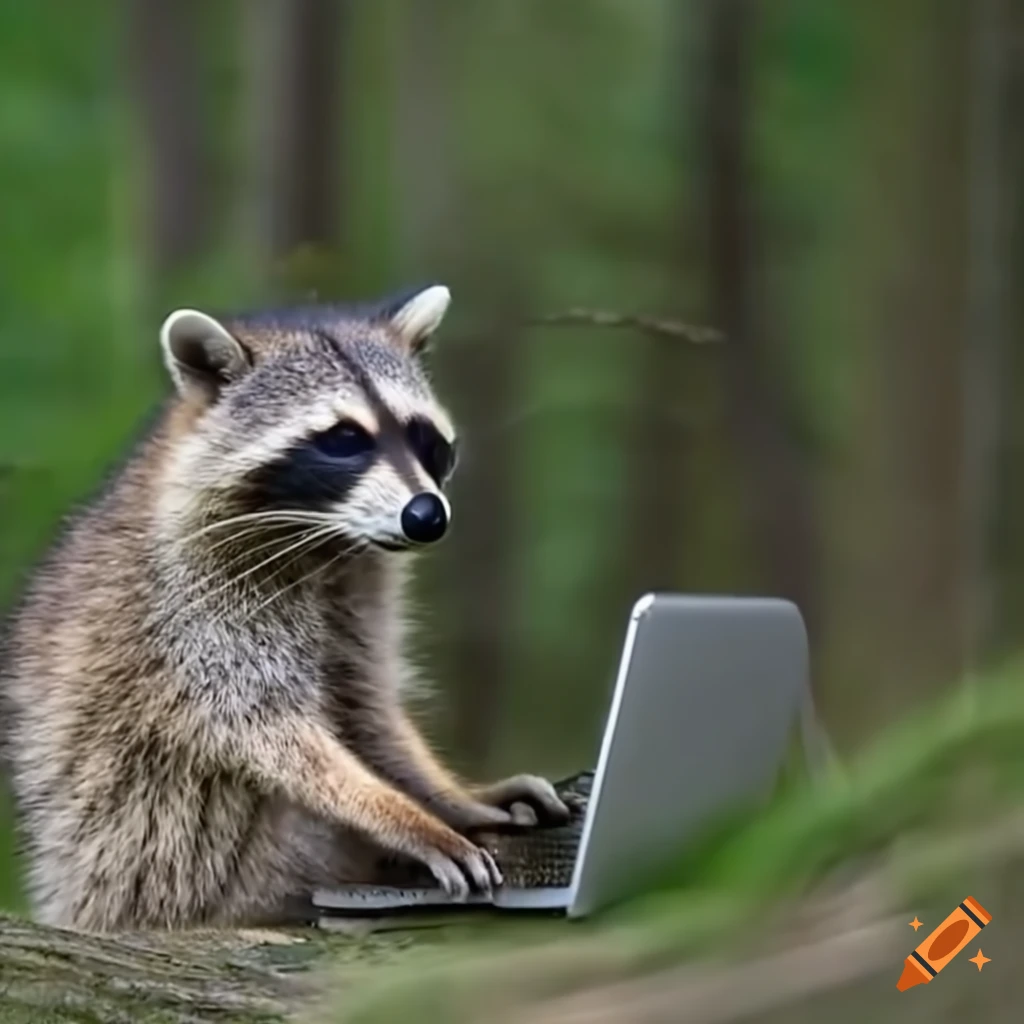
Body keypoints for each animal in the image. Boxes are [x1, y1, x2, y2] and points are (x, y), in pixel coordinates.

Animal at [1, 284, 568, 931]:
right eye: (343, 439)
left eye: (421, 435)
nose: (427, 517)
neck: (328, 536)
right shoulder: (193, 596)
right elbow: (264, 725)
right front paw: (397, 813)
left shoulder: (358, 589)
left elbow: (366, 708)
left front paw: (452, 796)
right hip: (184, 869)